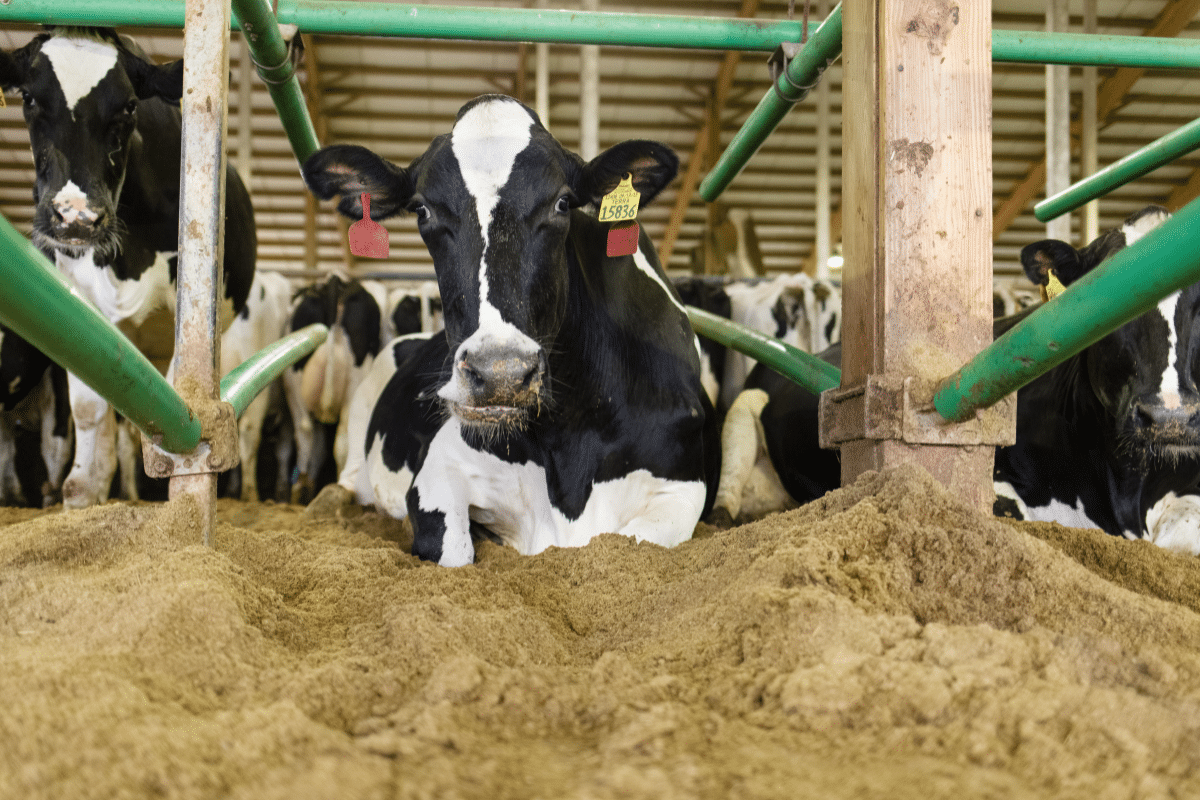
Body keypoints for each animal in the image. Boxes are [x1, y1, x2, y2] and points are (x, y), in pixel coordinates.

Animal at [0, 28, 257, 508]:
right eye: (28, 97)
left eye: (129, 105)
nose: (77, 216)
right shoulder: (80, 302)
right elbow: (89, 408)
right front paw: (82, 491)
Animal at [283, 274, 388, 504]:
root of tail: (335, 281)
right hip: (355, 383)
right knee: (342, 437)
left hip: (293, 380)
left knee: (305, 431)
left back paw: (302, 489)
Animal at [301, 94, 719, 566]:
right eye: (423, 209)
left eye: (562, 202)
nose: (500, 372)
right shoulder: (439, 470)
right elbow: (457, 551)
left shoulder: (681, 489)